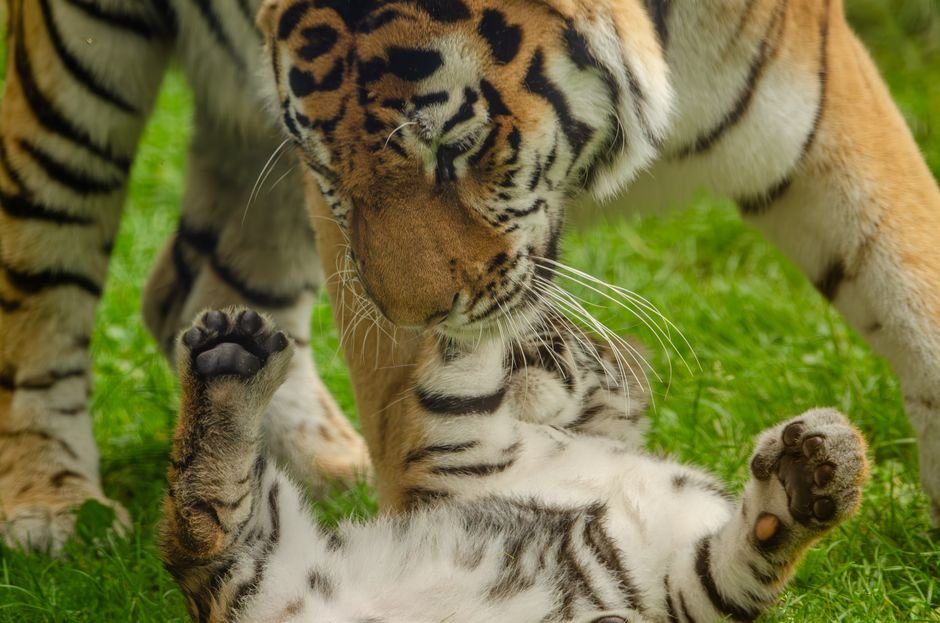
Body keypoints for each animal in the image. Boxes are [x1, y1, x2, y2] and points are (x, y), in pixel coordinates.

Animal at [160, 304, 869, 623]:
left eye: (578, 341)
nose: (542, 324)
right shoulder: (456, 445)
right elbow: (462, 373)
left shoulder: (684, 588)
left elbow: (750, 550)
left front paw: (806, 476)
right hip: (258, 564)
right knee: (200, 522)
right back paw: (228, 360)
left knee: (203, 523)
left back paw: (230, 358)